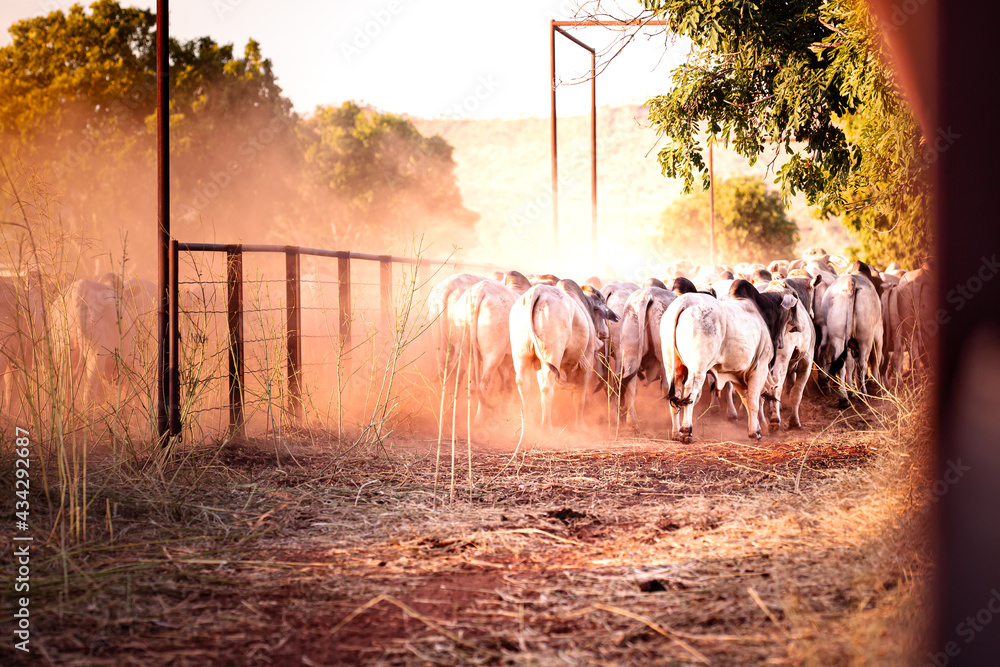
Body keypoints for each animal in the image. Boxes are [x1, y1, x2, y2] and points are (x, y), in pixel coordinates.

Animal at [509, 279, 618, 430]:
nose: (606, 332)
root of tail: (537, 291)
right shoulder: (586, 363)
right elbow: (579, 397)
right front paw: (580, 425)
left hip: (521, 356)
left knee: (523, 385)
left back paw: (529, 422)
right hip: (553, 355)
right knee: (547, 389)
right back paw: (546, 425)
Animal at [661, 280, 800, 442]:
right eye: (795, 298)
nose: (799, 325)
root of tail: (686, 302)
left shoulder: (738, 373)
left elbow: (746, 400)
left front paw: (754, 429)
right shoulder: (759, 368)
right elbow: (753, 401)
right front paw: (755, 432)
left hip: (672, 367)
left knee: (675, 397)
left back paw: (675, 433)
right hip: (698, 369)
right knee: (690, 394)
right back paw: (686, 431)